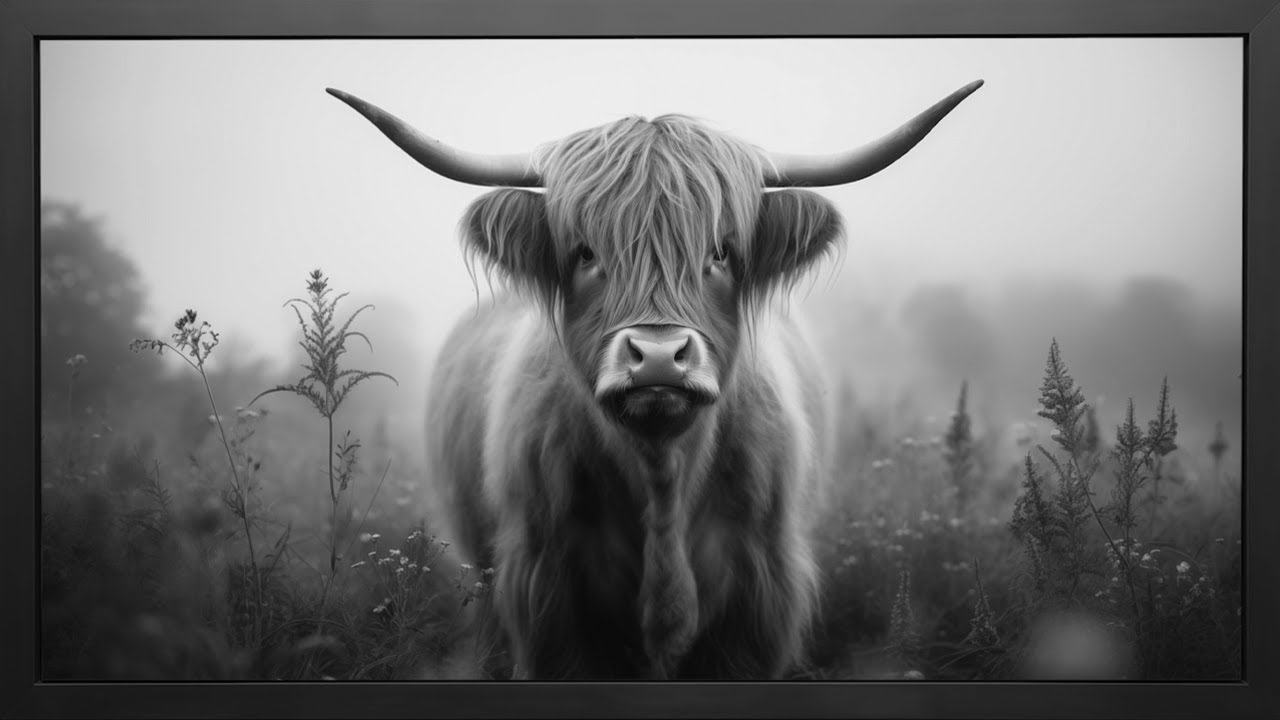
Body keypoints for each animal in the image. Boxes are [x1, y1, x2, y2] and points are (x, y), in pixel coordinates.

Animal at [327, 80, 983, 679]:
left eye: (721, 251)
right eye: (585, 252)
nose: (661, 357)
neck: (661, 472)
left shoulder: (759, 596)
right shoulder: (545, 590)